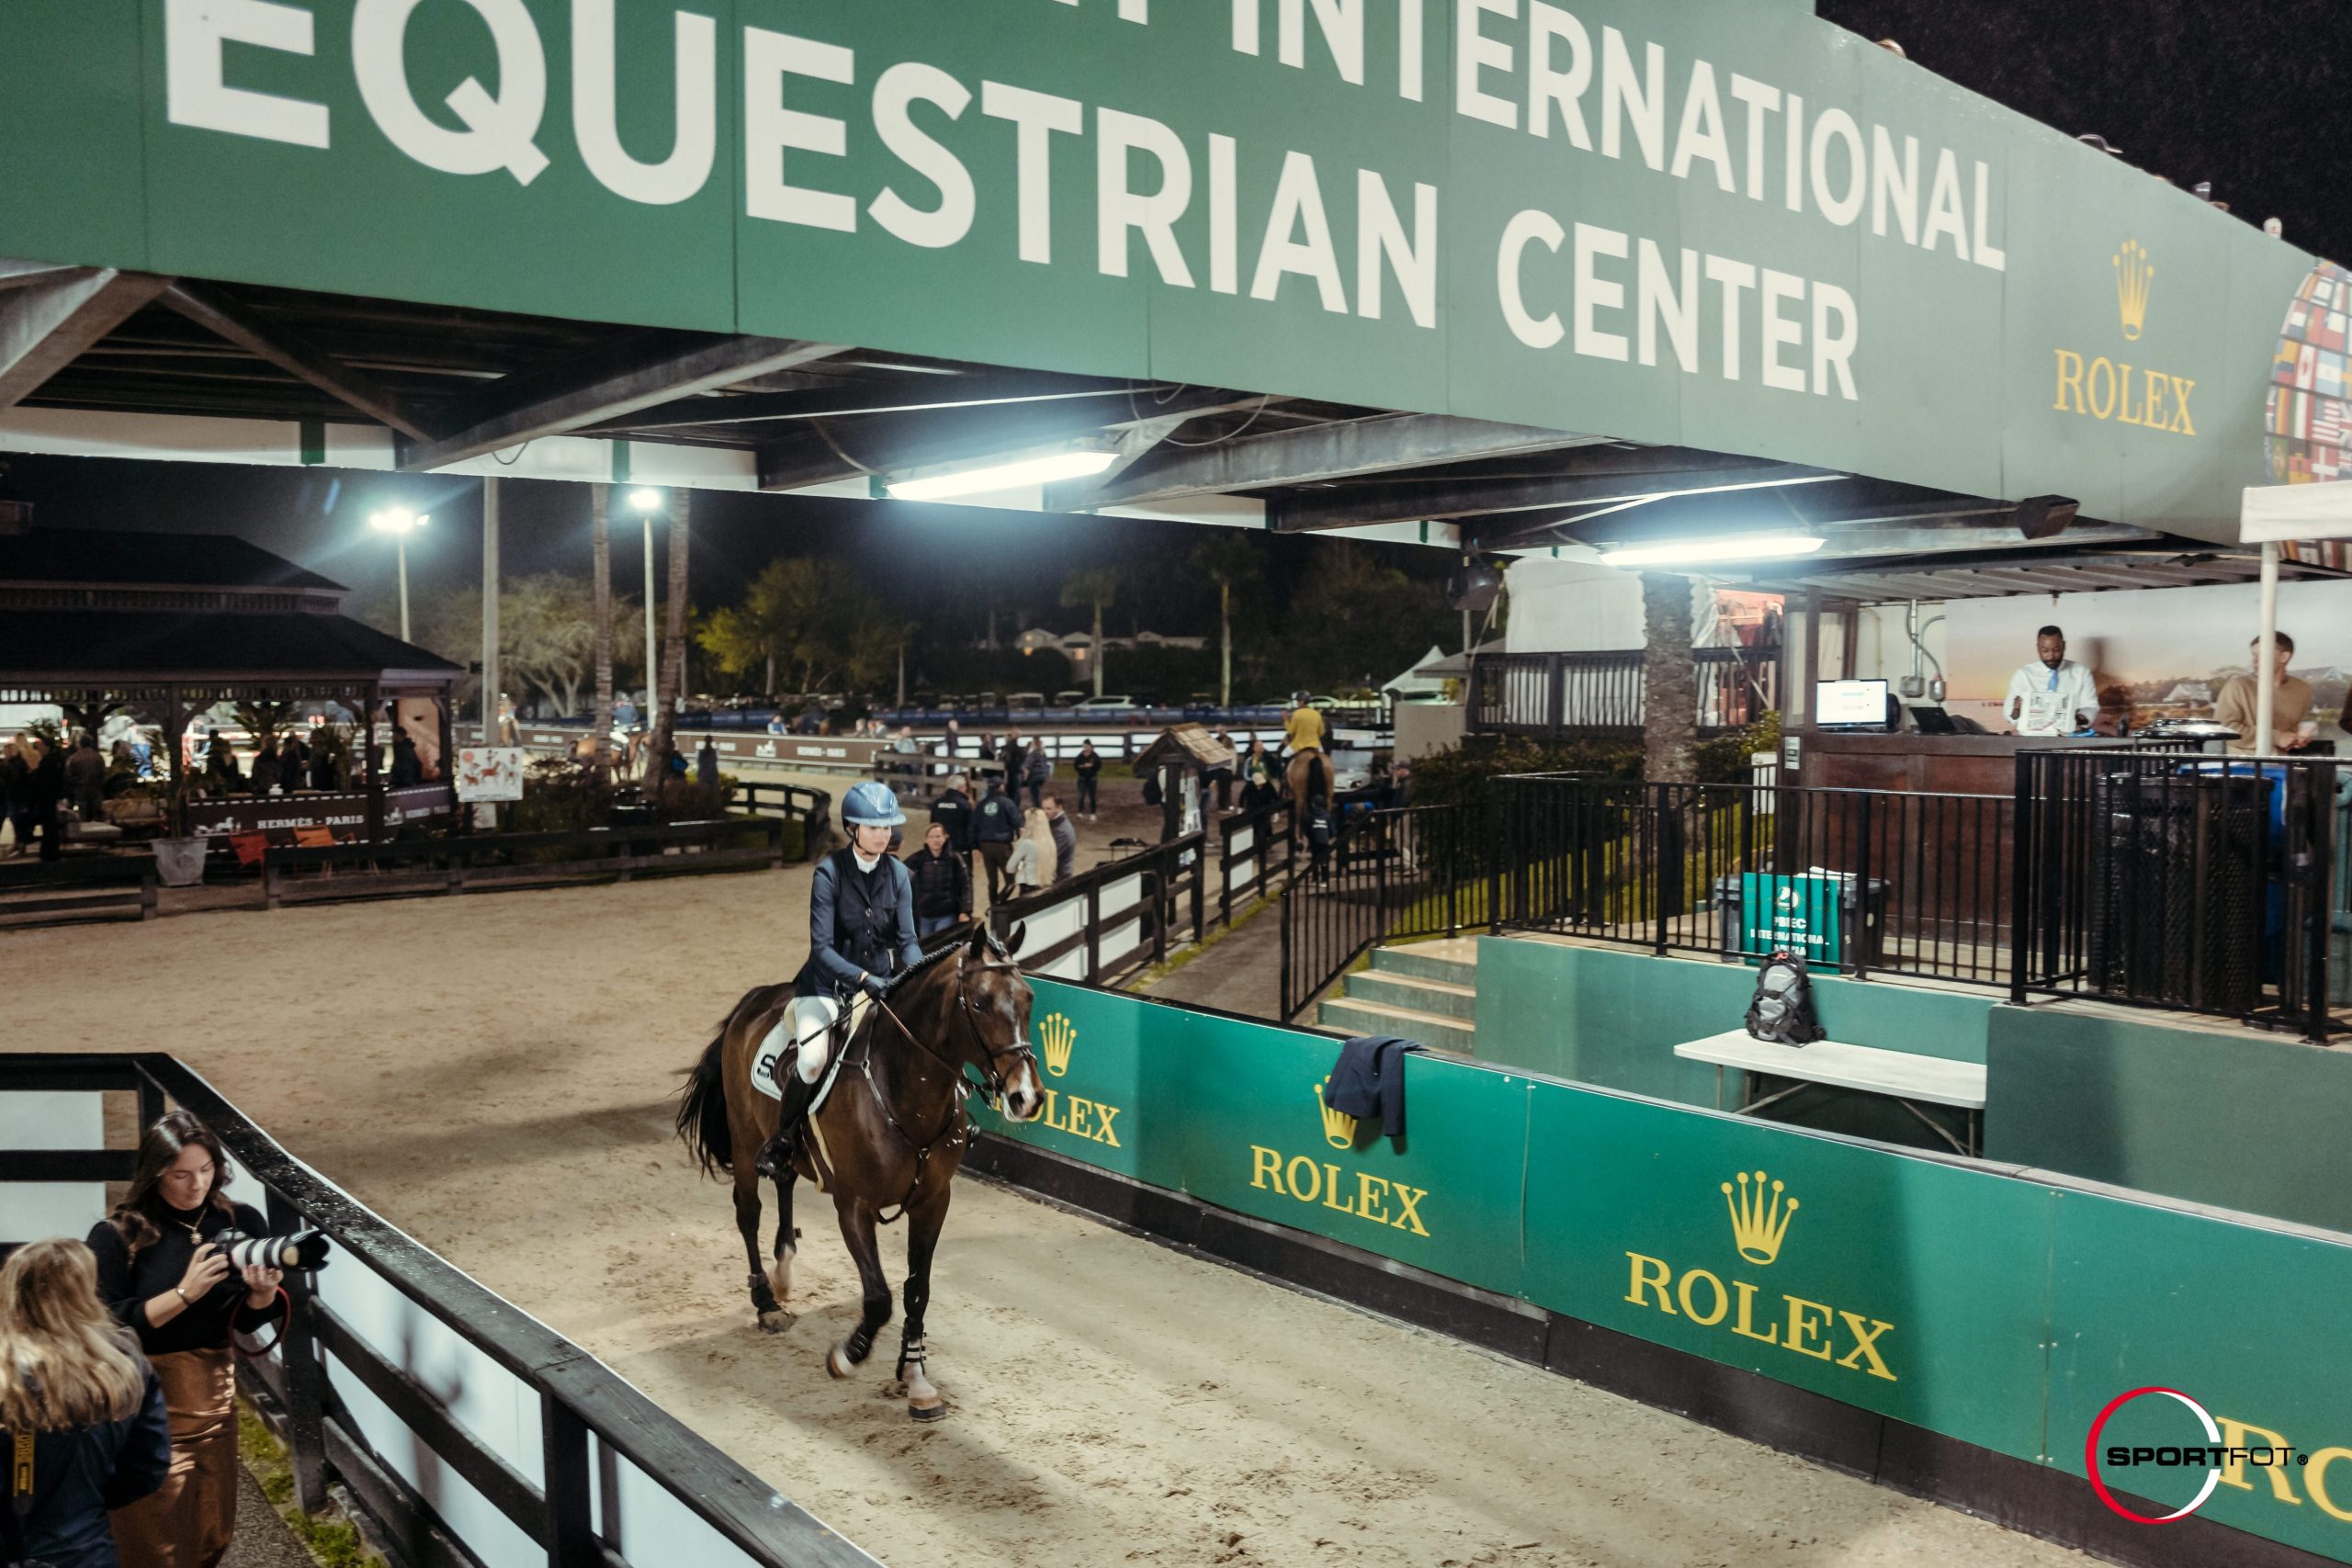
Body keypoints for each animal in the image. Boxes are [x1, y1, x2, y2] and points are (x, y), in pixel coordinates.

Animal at [674, 920, 1045, 1421]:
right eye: (982, 1002)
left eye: (1028, 998)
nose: (1027, 1097)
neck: (902, 1089)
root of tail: (753, 1000)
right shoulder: (854, 1207)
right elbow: (879, 1298)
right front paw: (847, 1357)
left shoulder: (934, 1201)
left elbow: (917, 1290)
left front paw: (916, 1379)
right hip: (745, 1134)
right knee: (748, 1212)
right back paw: (767, 1303)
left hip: (782, 1143)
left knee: (785, 1179)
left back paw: (784, 1269)